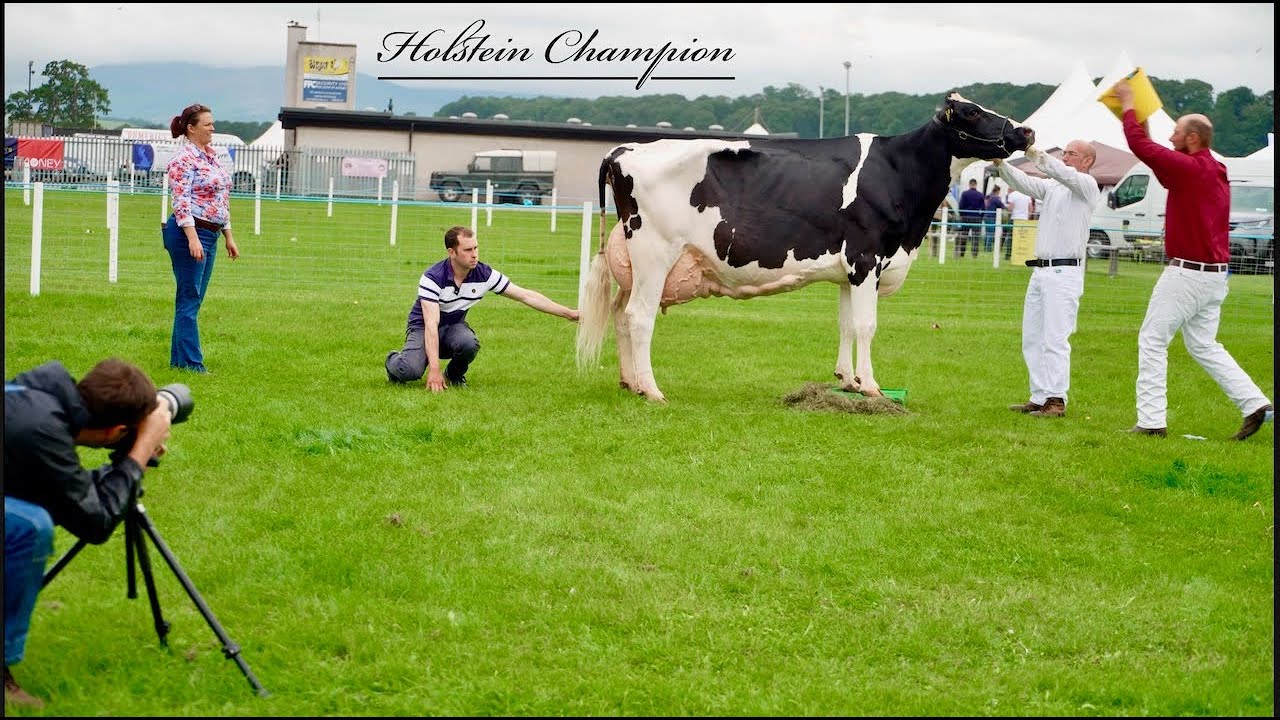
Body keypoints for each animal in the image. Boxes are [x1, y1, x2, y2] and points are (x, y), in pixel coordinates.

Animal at [576, 92, 1034, 403]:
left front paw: (847, 380)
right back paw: (652, 390)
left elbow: (846, 325)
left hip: (635, 263)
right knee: (639, 317)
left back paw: (631, 382)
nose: (1026, 131)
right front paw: (871, 386)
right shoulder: (867, 259)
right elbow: (867, 326)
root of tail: (625, 148)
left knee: (619, 312)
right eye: (973, 112)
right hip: (655, 252)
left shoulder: (849, 271)